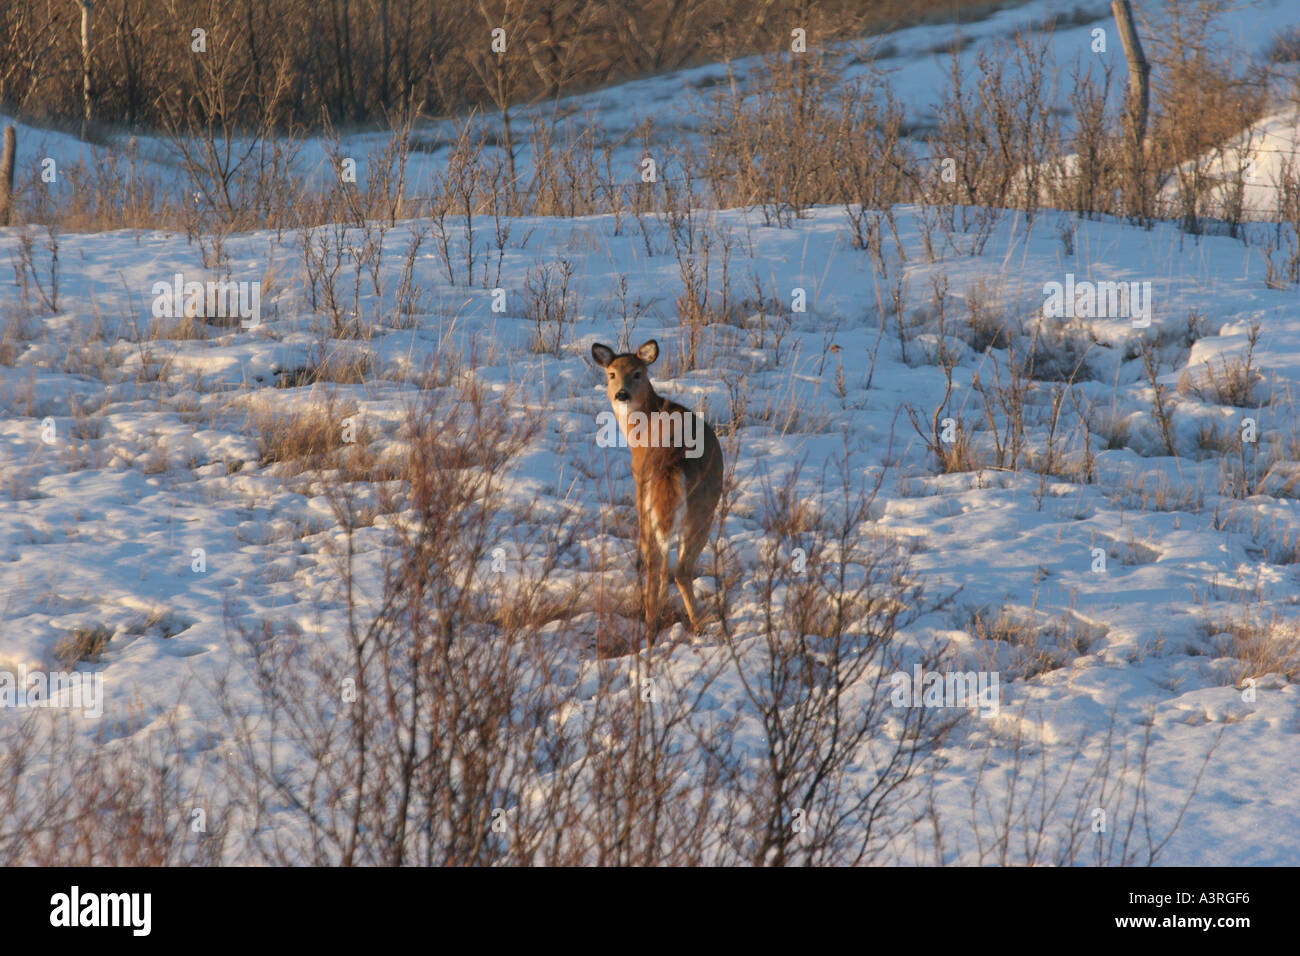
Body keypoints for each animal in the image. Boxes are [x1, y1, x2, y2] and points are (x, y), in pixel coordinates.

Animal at [591, 340, 723, 639]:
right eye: (611, 374)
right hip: (700, 510)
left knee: (658, 564)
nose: (622, 394)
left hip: (649, 502)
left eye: (637, 373)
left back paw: (656, 626)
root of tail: (672, 461)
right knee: (673, 566)